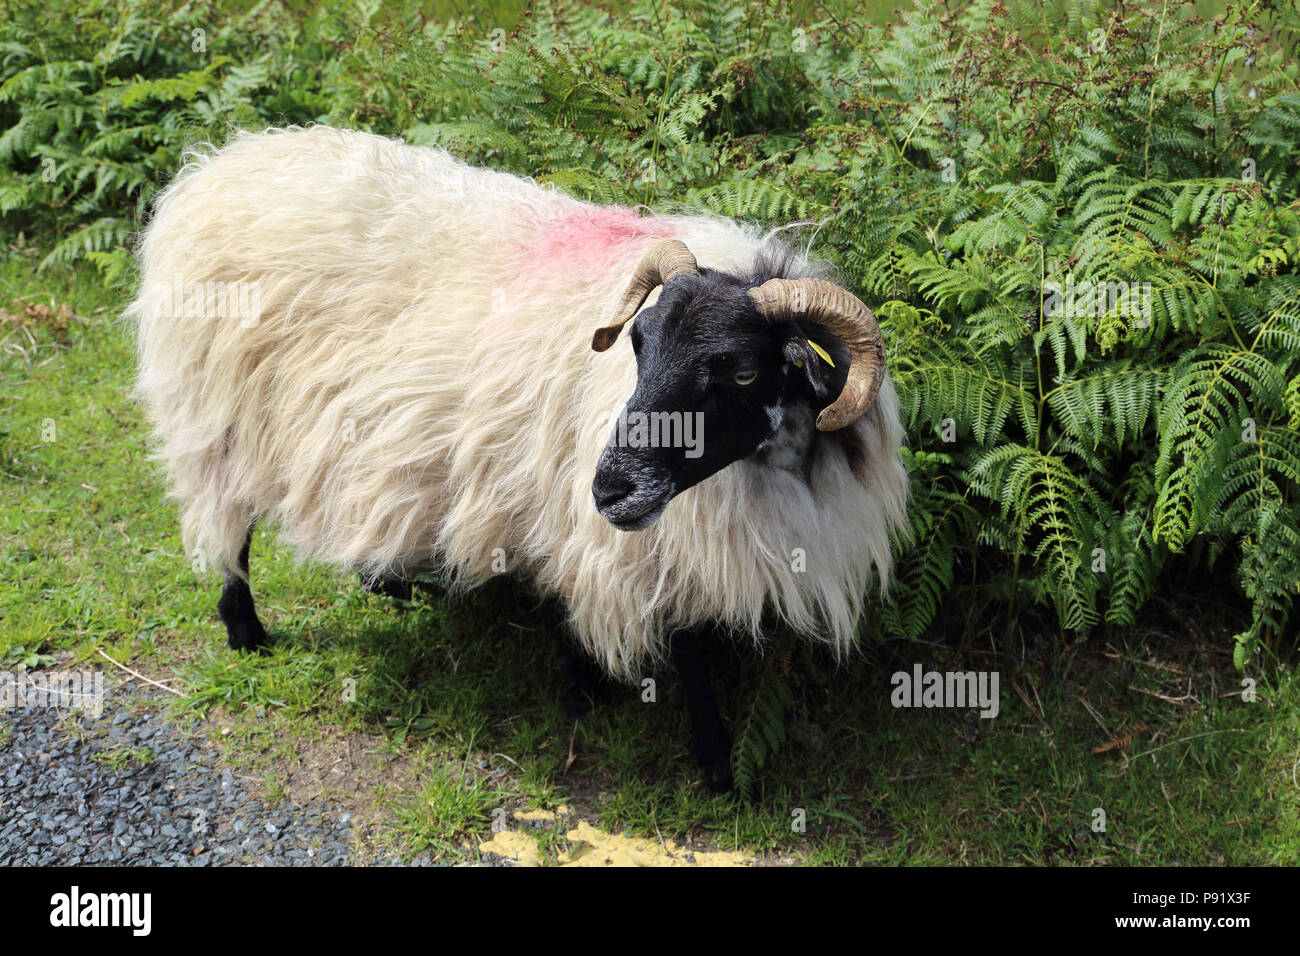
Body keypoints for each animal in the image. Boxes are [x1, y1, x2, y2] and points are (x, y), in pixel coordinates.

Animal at [128, 125, 910, 791]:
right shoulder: (627, 535)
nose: (611, 487)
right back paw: (245, 631)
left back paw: (392, 582)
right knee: (228, 526)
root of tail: (220, 165)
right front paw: (704, 757)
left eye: (745, 372)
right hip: (218, 413)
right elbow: (686, 649)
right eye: (638, 342)